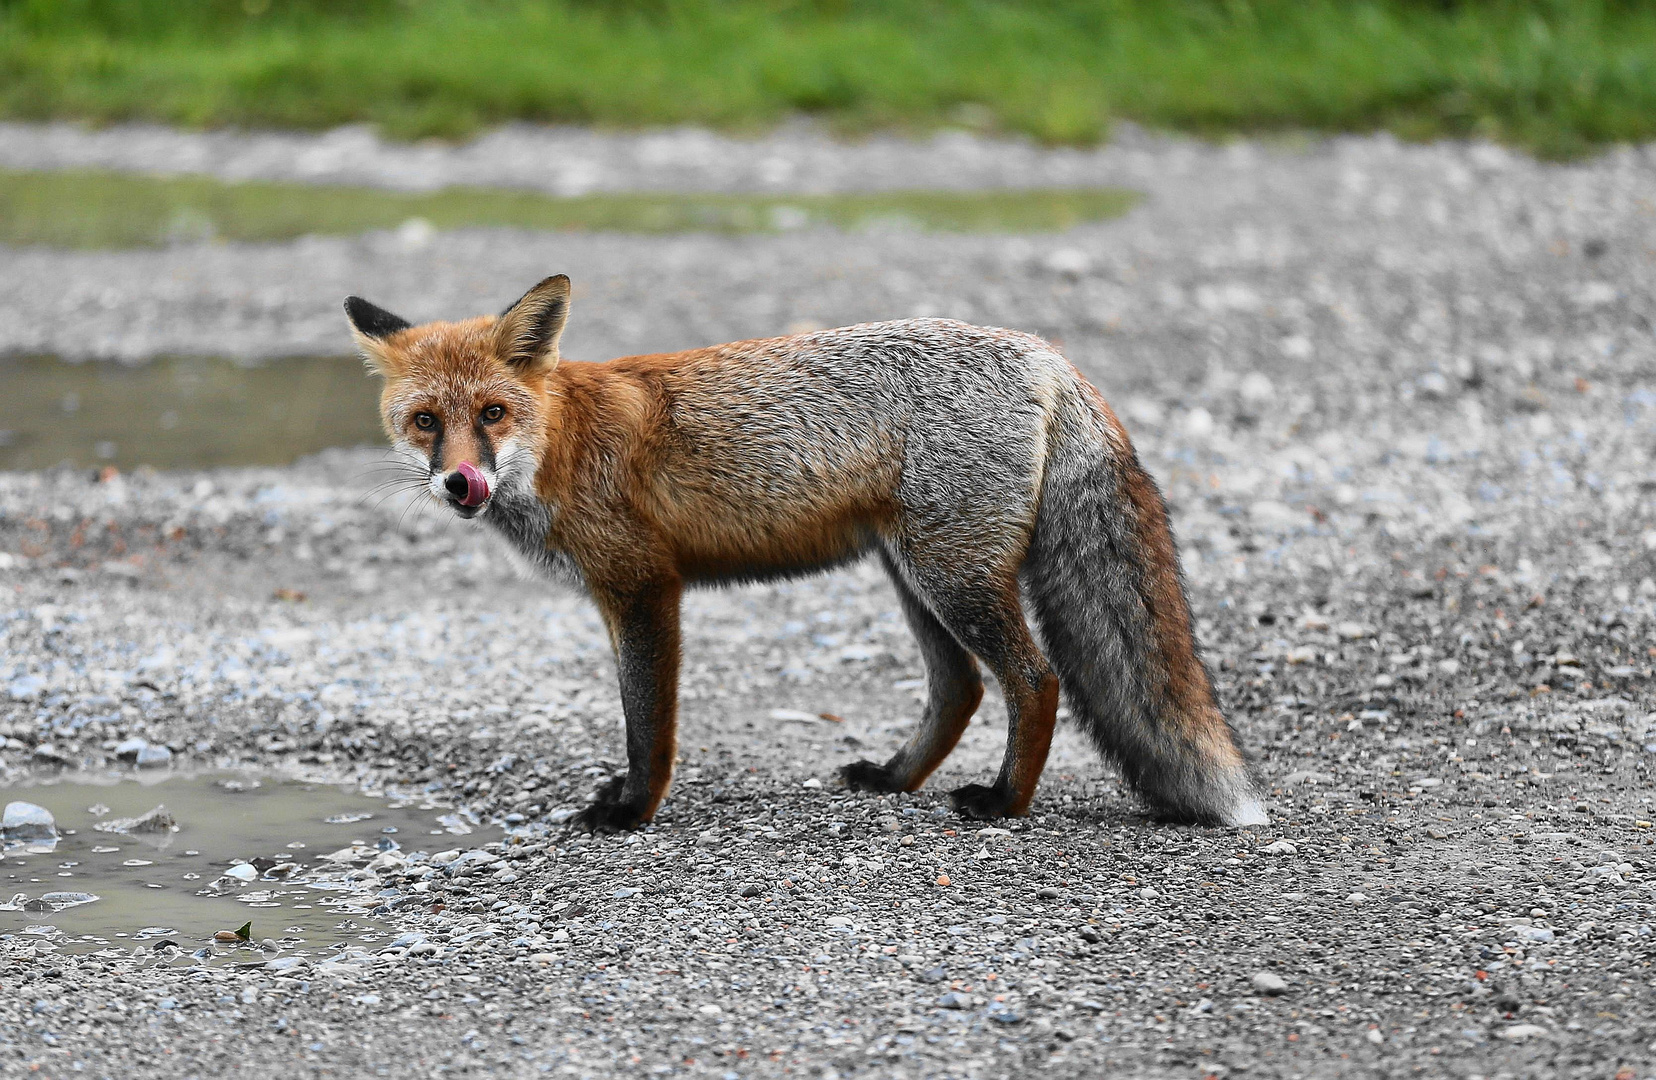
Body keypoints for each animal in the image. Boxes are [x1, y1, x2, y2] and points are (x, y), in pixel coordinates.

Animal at [344, 274, 1266, 832]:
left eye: (493, 413)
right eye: (425, 422)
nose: (461, 481)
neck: (564, 446)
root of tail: (1045, 353)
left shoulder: (644, 588)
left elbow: (649, 727)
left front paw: (633, 812)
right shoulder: (616, 595)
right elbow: (636, 718)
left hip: (952, 577)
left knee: (1034, 681)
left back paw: (1005, 801)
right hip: (914, 575)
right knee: (961, 687)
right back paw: (895, 780)